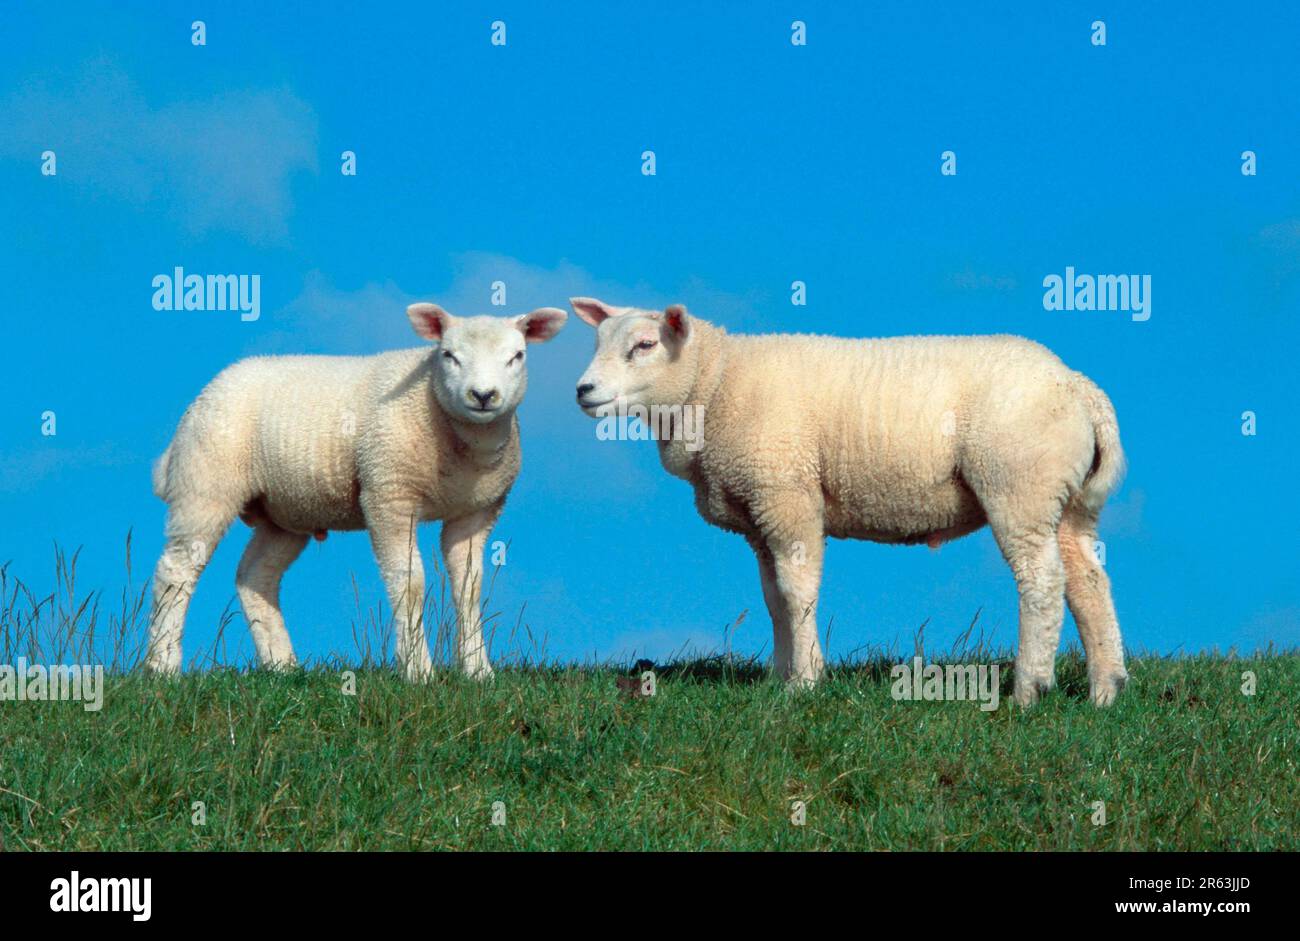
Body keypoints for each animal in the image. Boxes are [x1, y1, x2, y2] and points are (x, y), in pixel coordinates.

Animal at [146, 302, 567, 680]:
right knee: (176, 571)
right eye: (448, 355)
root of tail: (208, 390)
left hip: (287, 512)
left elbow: (469, 588)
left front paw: (479, 672)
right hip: (205, 482)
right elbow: (409, 582)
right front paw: (418, 671)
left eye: (517, 356)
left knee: (255, 576)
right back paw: (162, 666)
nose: (482, 395)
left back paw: (282, 666)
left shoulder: (477, 512)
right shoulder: (388, 495)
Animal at [571, 297, 1128, 707]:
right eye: (597, 342)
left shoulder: (787, 497)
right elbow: (772, 598)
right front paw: (778, 678)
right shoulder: (758, 515)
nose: (583, 390)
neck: (714, 383)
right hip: (1067, 500)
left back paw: (1029, 689)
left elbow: (797, 592)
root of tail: (1079, 387)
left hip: (1018, 486)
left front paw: (806, 681)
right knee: (1088, 581)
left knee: (1043, 581)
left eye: (645, 345)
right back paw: (1105, 689)